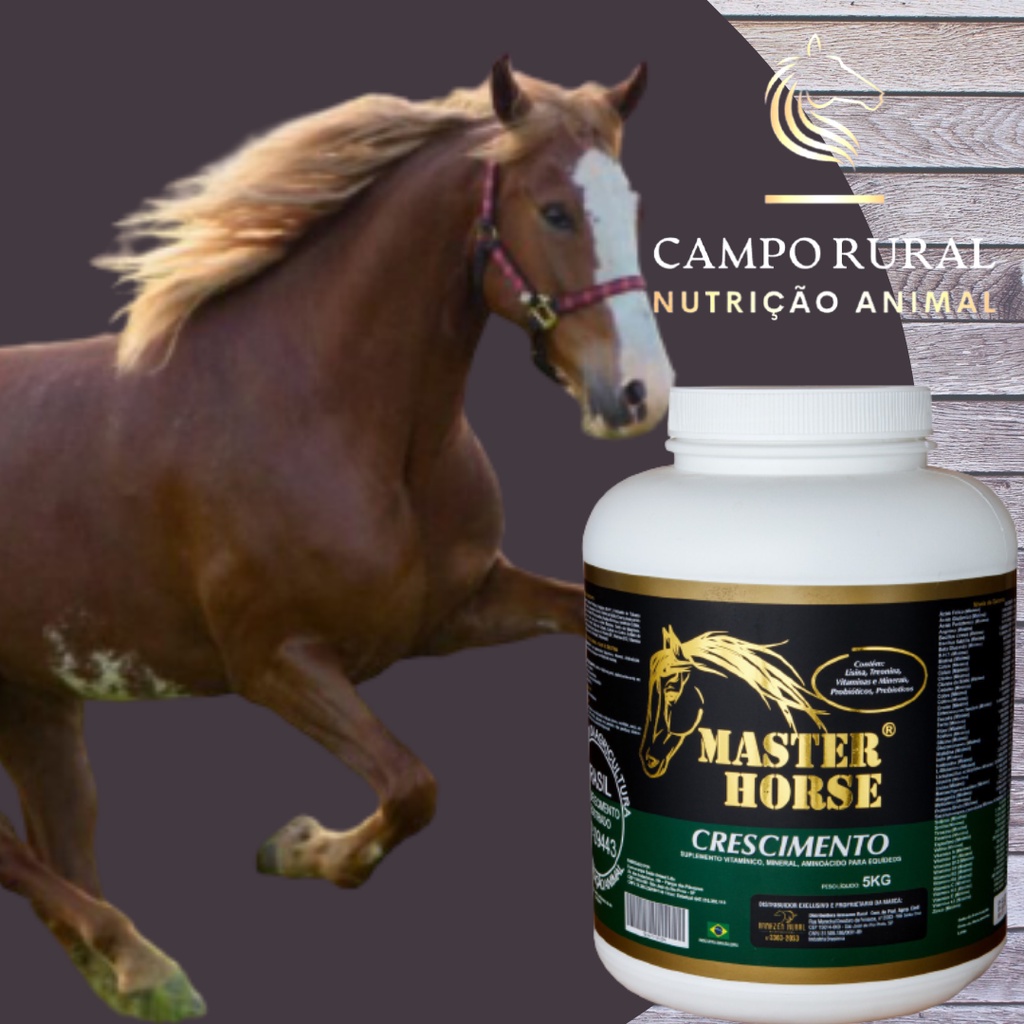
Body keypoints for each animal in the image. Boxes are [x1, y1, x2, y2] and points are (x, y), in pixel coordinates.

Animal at [0, 58, 673, 1021]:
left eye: (632, 204)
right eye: (554, 211)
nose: (641, 393)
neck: (333, 412)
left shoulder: (461, 610)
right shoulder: (275, 661)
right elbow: (413, 787)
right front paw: (298, 846)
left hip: (37, 704)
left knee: (59, 851)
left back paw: (120, 970)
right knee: (16, 857)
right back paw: (146, 967)